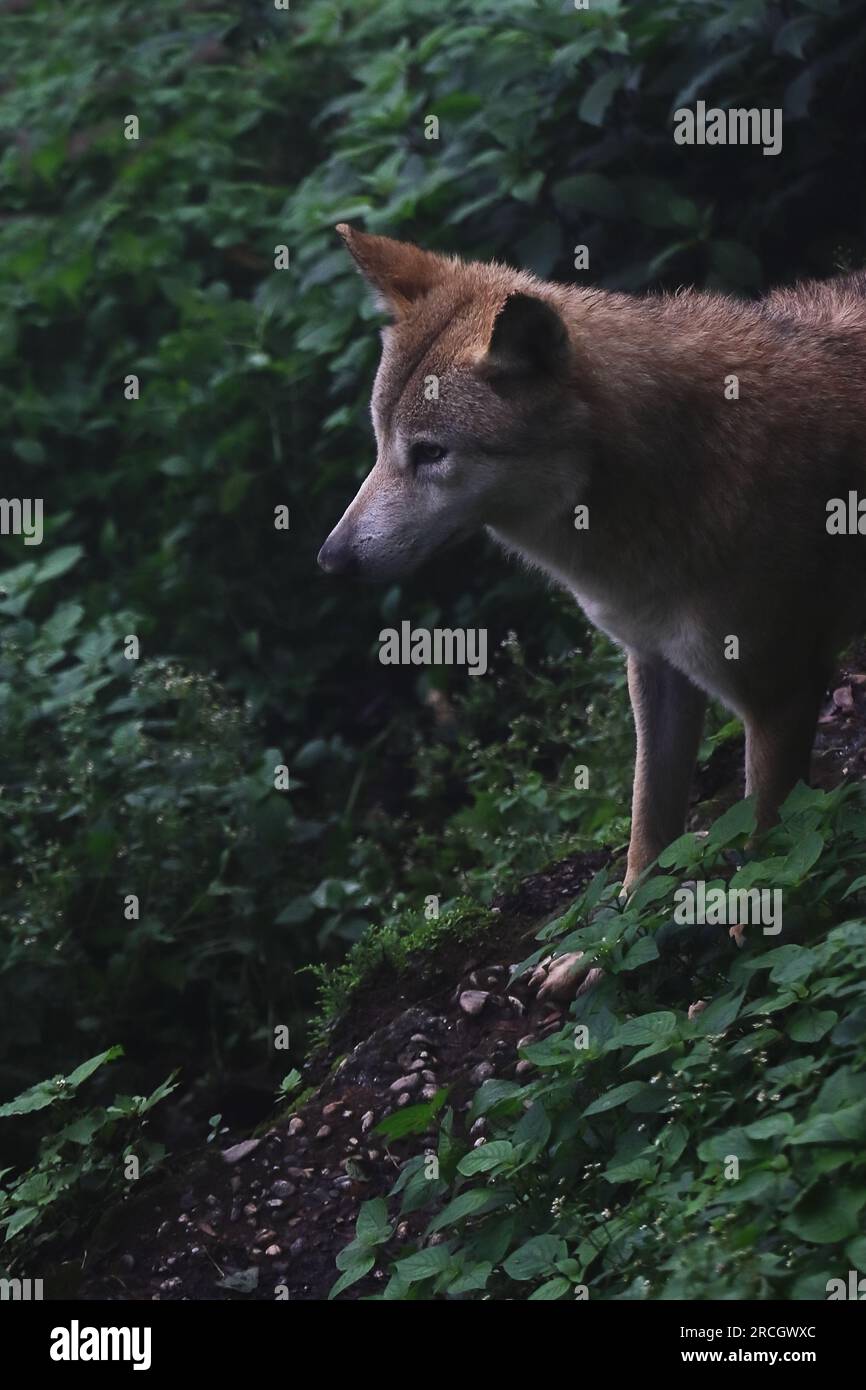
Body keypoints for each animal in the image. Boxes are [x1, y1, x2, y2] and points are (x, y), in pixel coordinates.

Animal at [318, 225, 866, 890]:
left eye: (430, 453)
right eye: (380, 443)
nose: (331, 560)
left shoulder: (780, 700)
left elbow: (771, 855)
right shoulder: (656, 666)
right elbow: (648, 828)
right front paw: (632, 911)